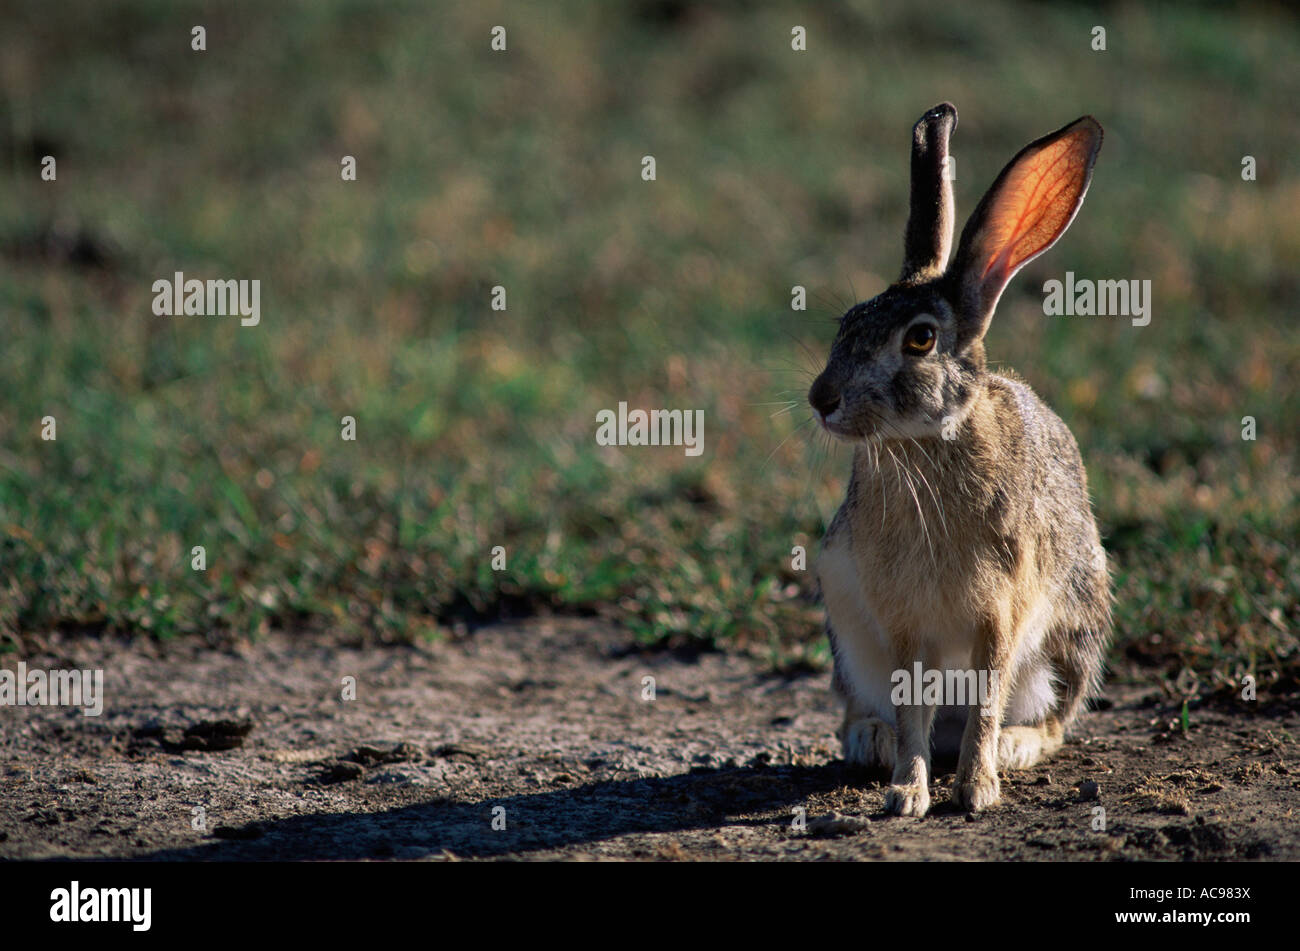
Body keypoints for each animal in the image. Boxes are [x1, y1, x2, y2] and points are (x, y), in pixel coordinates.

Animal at [808, 103, 1111, 817]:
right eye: (845, 324)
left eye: (920, 339)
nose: (821, 399)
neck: (923, 444)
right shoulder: (901, 621)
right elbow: (912, 705)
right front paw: (907, 794)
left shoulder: (1002, 611)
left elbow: (988, 695)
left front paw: (975, 789)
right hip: (848, 630)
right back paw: (870, 740)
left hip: (1069, 634)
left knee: (1049, 717)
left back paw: (1015, 748)